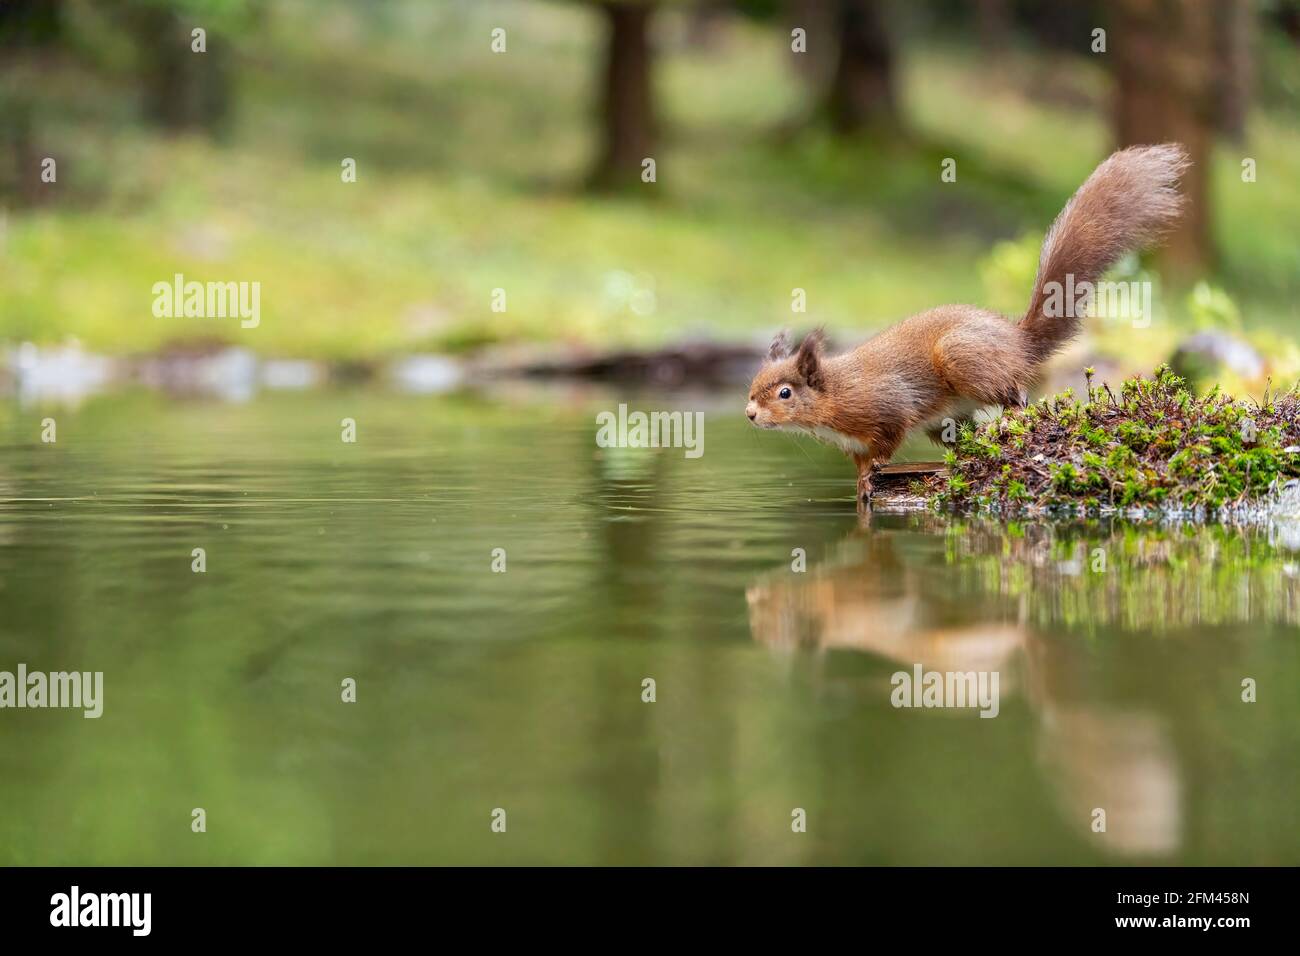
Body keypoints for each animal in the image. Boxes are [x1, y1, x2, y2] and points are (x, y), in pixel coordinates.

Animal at [745, 144, 1189, 501]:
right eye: (754, 388)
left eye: (785, 393)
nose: (749, 414)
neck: (835, 393)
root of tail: (1017, 342)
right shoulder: (853, 443)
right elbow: (859, 463)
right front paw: (860, 483)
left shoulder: (887, 406)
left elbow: (886, 444)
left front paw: (873, 474)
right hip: (947, 418)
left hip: (963, 357)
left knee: (1015, 395)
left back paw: (1010, 417)